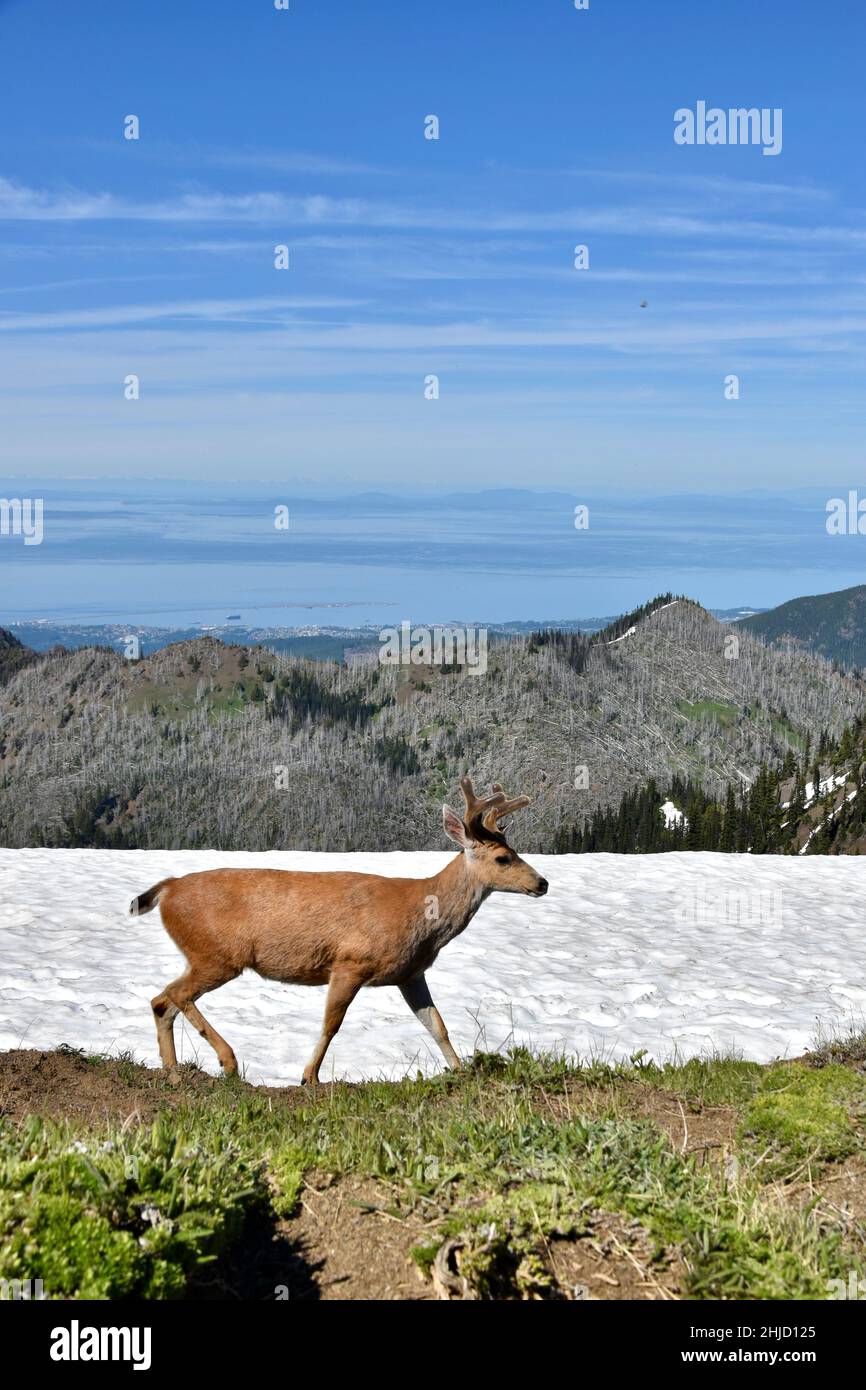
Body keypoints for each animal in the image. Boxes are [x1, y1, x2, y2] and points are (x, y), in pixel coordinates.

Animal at [130, 778, 548, 1085]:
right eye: (503, 858)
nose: (542, 883)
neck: (421, 913)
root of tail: (167, 889)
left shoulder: (410, 973)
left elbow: (437, 1025)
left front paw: (459, 1071)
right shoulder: (350, 961)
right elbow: (332, 1023)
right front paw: (309, 1077)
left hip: (203, 956)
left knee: (161, 1001)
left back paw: (172, 1070)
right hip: (216, 953)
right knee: (176, 994)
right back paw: (228, 1062)